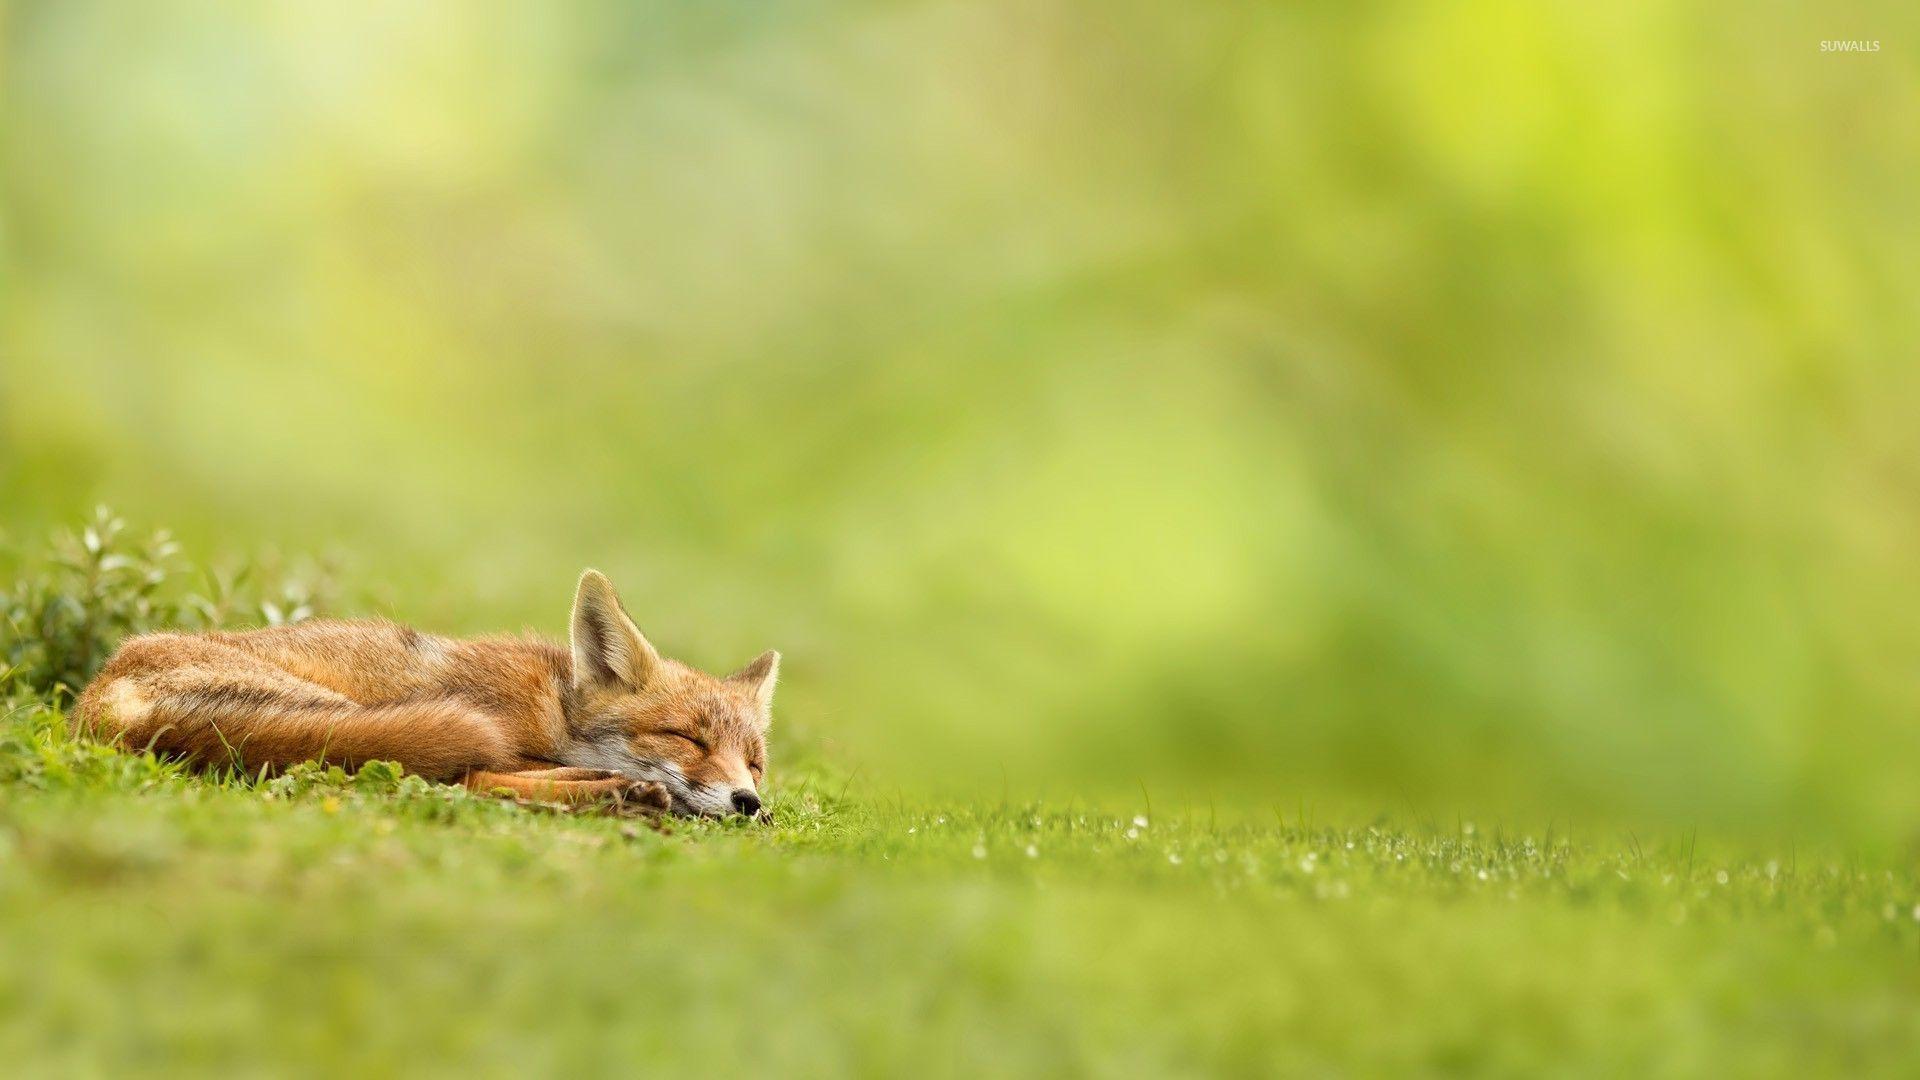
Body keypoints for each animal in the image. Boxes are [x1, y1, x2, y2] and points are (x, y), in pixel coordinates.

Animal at [73, 569, 776, 817]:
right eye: (686, 738)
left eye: (756, 763)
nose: (748, 801)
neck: (553, 706)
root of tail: (99, 698)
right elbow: (486, 775)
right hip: (345, 716)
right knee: (461, 779)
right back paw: (621, 792)